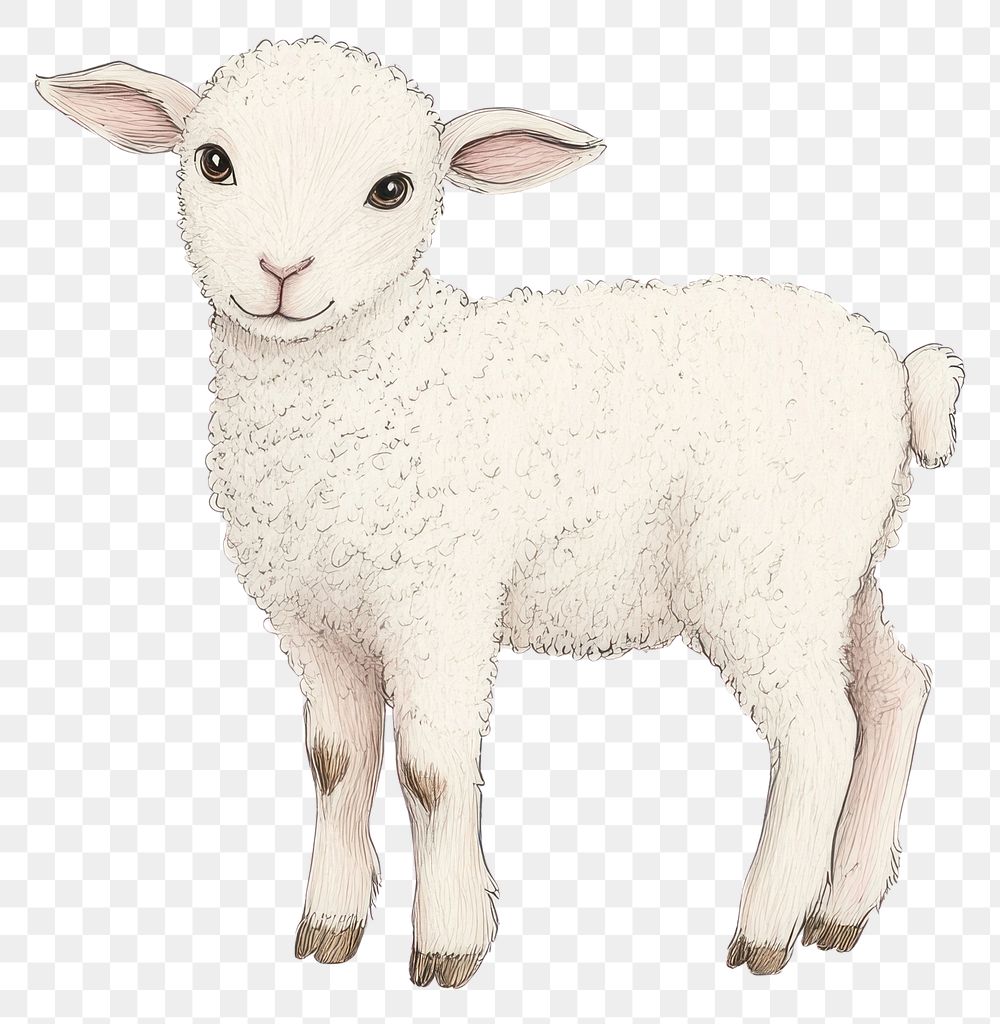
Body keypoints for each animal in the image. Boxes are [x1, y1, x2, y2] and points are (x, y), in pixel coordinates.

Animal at [36, 36, 964, 988]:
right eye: (213, 162)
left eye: (392, 188)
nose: (282, 274)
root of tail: (899, 374)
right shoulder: (314, 615)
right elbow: (337, 764)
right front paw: (329, 926)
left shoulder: (438, 596)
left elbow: (431, 772)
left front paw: (449, 943)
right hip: (836, 564)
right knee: (895, 688)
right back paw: (843, 909)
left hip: (761, 567)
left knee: (819, 733)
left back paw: (768, 929)